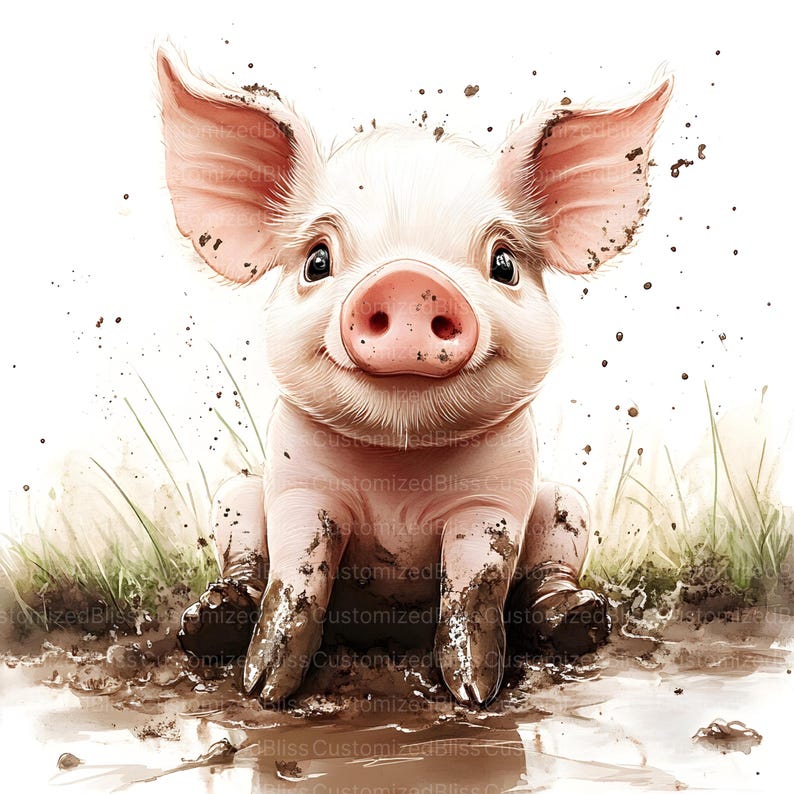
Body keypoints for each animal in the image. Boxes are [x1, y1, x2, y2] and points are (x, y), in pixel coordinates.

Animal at [157, 44, 671, 708]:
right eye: (317, 260)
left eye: (504, 263)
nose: (409, 281)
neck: (399, 469)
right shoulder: (300, 489)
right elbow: (296, 582)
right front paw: (263, 692)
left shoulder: (493, 500)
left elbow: (475, 589)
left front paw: (474, 695)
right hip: (237, 497)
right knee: (243, 553)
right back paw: (211, 623)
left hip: (567, 504)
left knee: (550, 568)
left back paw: (579, 619)